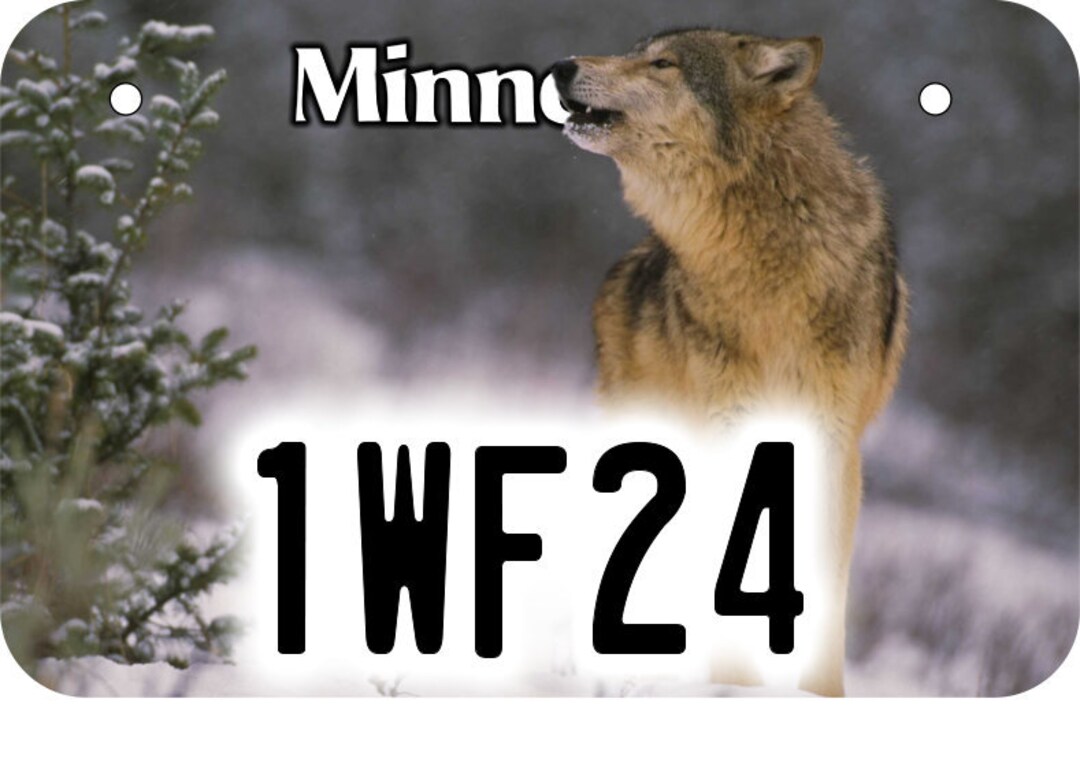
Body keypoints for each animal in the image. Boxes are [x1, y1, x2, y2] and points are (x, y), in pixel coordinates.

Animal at [553, 29, 908, 696]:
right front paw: (736, 687)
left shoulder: (831, 439)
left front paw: (820, 698)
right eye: (638, 52)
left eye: (663, 63)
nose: (561, 65)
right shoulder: (728, 422)